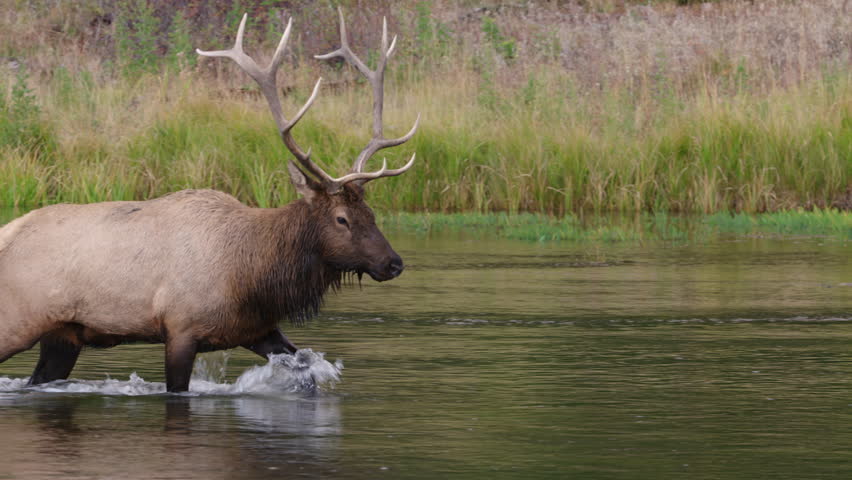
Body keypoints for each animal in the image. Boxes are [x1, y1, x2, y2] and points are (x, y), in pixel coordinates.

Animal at [0, 9, 419, 392]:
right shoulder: (181, 329)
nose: (394, 263)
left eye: (371, 213)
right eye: (341, 219)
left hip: (63, 335)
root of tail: (8, 232)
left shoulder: (256, 328)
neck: (251, 276)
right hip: (18, 320)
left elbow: (304, 369)